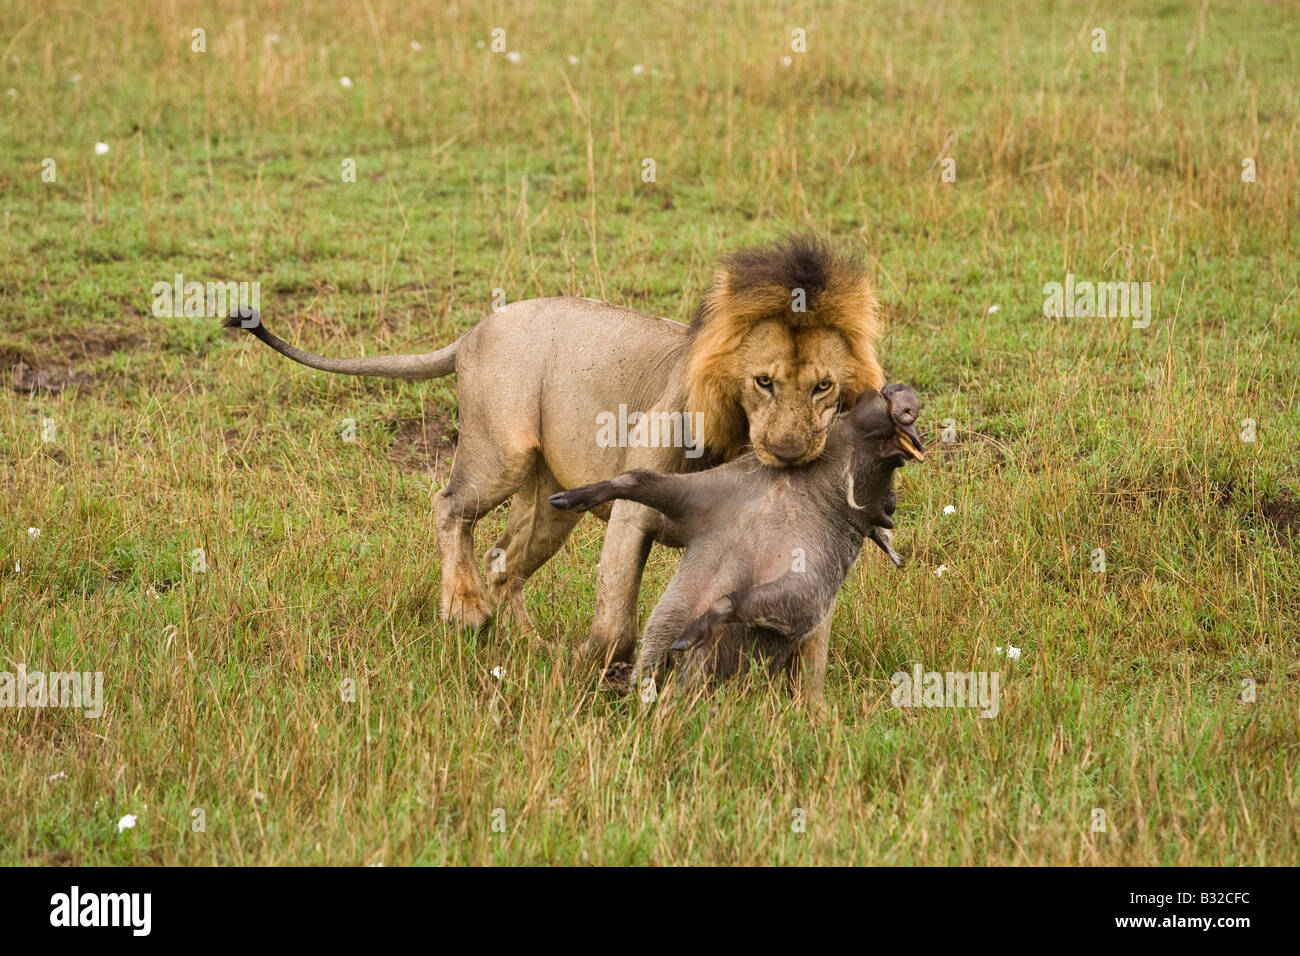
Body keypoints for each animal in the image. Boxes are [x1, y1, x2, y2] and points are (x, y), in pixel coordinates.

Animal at [223, 236, 885, 698]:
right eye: (763, 381)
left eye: (824, 385)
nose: (793, 451)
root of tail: (473, 332)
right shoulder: (634, 511)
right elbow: (618, 623)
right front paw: (597, 671)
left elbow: (812, 635)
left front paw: (811, 712)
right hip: (503, 455)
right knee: (449, 508)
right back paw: (465, 610)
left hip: (552, 503)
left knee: (503, 559)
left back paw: (522, 639)